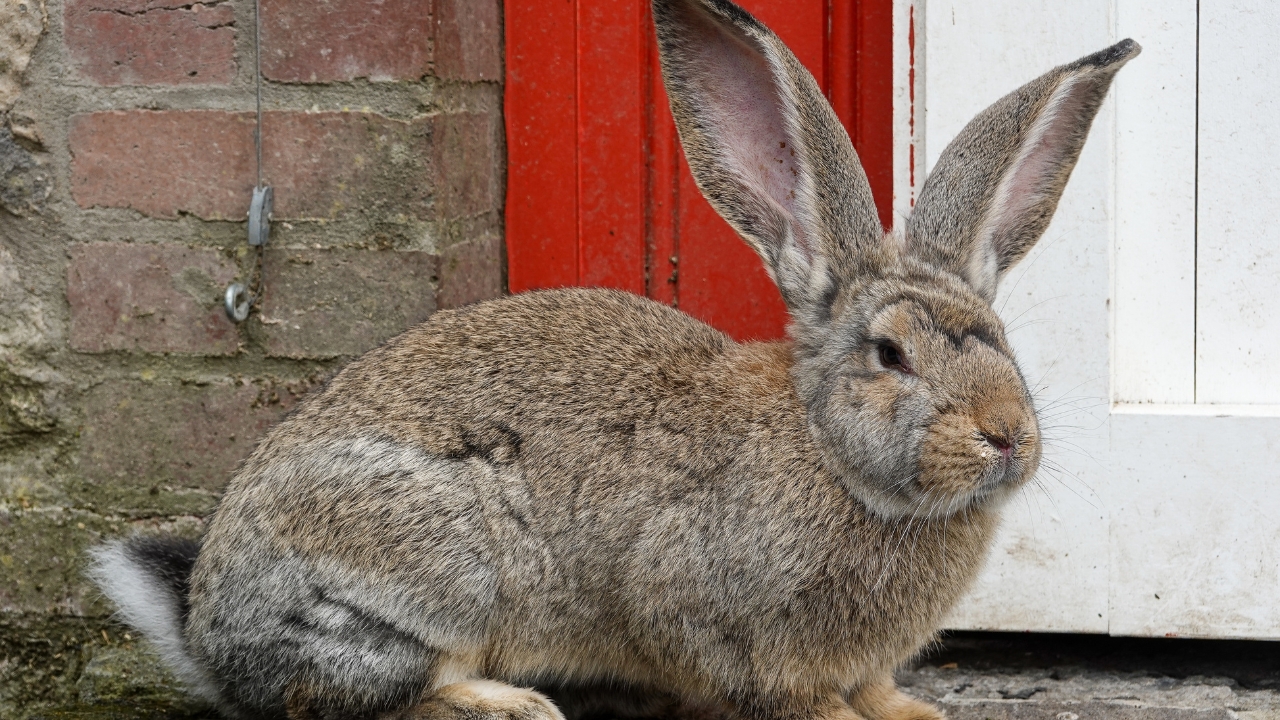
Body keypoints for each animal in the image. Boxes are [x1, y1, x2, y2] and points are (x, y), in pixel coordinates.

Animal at [89, 1, 1139, 718]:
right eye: (889, 355)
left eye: (1002, 344)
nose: (1008, 438)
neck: (828, 455)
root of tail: (203, 625)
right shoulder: (711, 610)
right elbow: (776, 688)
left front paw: (909, 712)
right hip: (431, 572)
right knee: (366, 692)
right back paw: (508, 705)